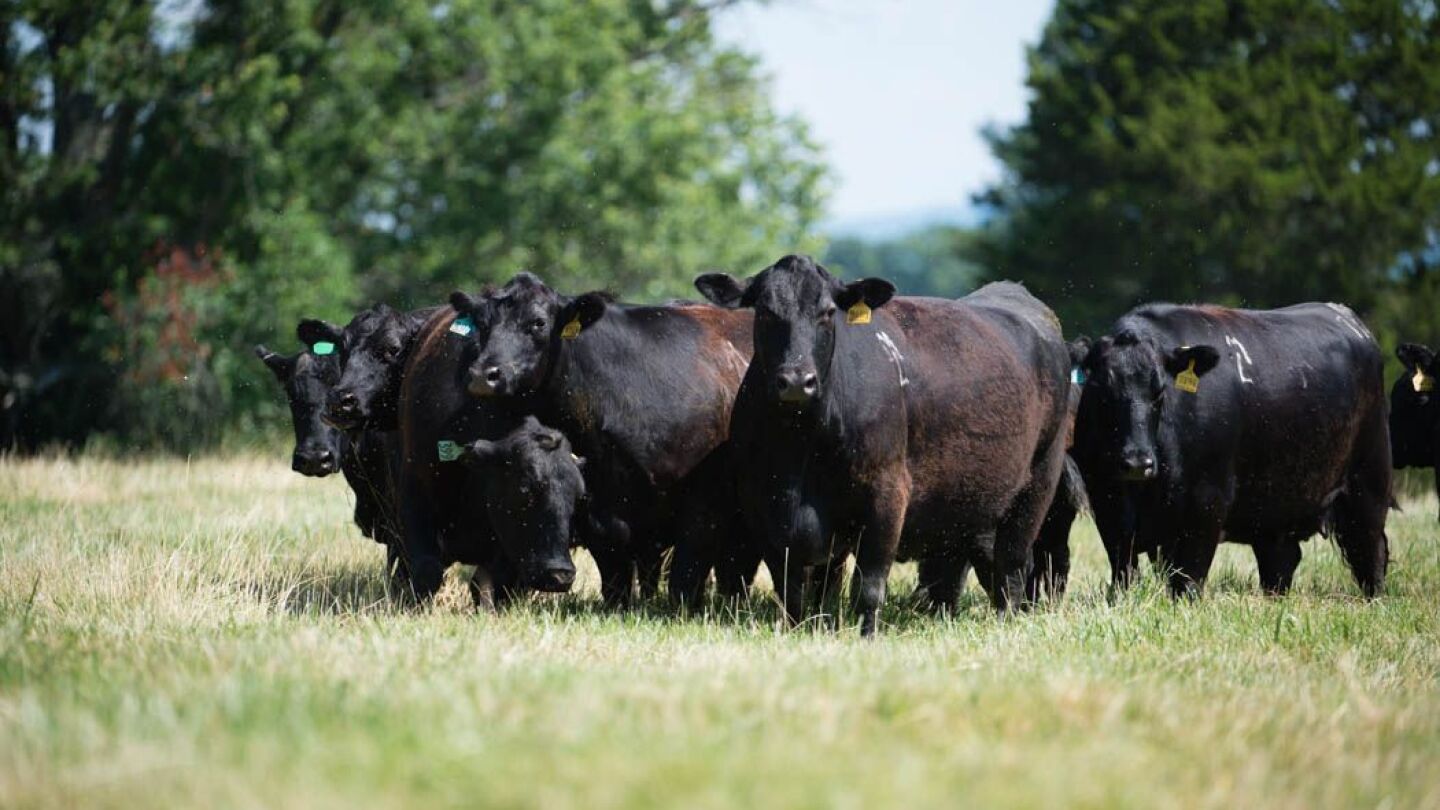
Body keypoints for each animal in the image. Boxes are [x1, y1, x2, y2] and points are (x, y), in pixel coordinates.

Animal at [446, 273, 761, 606]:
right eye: (482, 323)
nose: (484, 374)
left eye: (538, 323)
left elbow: (685, 578)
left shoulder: (704, 507)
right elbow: (616, 583)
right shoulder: (599, 516)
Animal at [695, 255, 1073, 636]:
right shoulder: (763, 506)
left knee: (1011, 566)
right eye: (765, 311)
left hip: (1038, 482)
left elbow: (869, 586)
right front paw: (795, 631)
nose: (797, 381)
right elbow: (791, 589)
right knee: (956, 571)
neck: (802, 446)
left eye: (828, 312)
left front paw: (867, 636)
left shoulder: (887, 496)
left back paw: (1006, 621)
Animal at [1072, 302, 1390, 598]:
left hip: (1368, 486)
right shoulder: (1106, 502)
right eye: (1101, 391)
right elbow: (1123, 572)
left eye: (1160, 391)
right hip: (1275, 510)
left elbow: (1188, 579)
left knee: (1371, 552)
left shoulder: (1207, 502)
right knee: (1281, 562)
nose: (1138, 462)